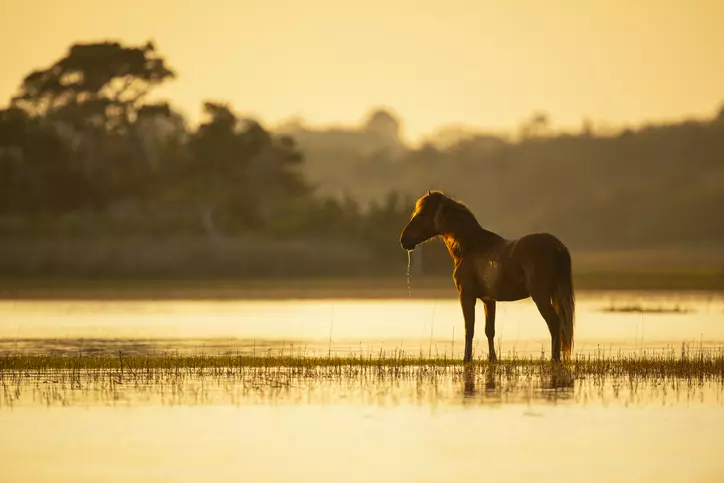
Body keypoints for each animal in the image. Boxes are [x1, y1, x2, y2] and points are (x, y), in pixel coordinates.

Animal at [398, 191, 576, 364]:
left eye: (422, 213)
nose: (403, 240)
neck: (470, 247)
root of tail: (557, 246)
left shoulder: (466, 296)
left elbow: (469, 329)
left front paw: (467, 358)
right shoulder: (488, 300)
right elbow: (489, 330)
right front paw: (492, 358)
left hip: (541, 296)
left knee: (554, 323)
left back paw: (554, 359)